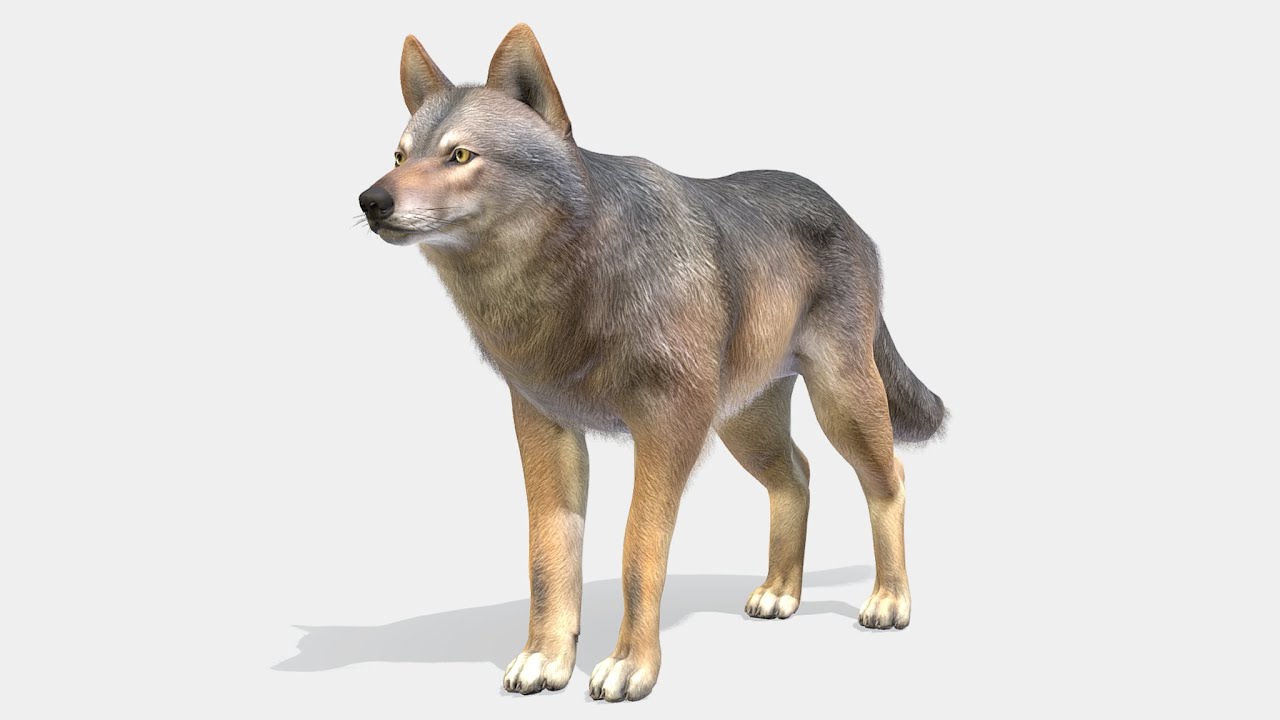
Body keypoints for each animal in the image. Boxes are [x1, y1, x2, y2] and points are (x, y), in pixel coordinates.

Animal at [356, 24, 946, 702]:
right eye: (400, 156)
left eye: (459, 156)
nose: (370, 201)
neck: (571, 286)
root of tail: (850, 218)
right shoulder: (546, 428)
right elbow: (547, 556)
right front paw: (545, 658)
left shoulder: (667, 429)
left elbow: (639, 552)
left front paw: (630, 666)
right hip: (744, 424)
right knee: (796, 476)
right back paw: (780, 593)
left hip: (840, 403)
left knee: (890, 477)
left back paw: (890, 600)